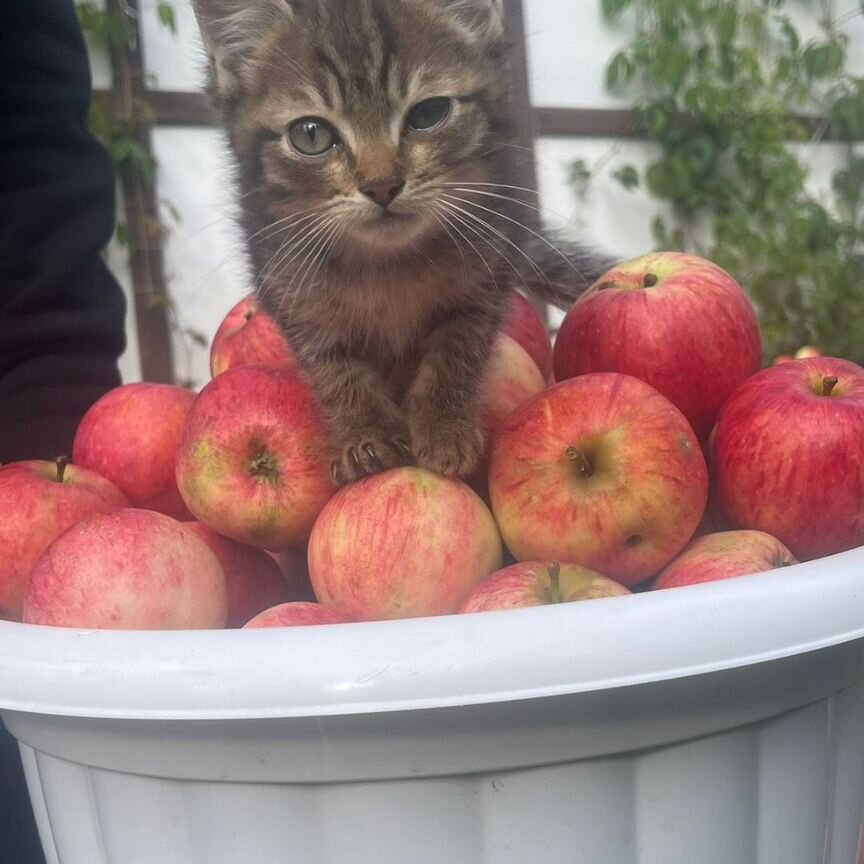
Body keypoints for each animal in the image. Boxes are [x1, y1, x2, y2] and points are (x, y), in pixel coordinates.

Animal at [190, 0, 608, 486]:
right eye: (311, 134)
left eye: (428, 114)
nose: (382, 185)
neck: (387, 264)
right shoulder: (288, 291)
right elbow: (333, 369)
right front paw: (367, 436)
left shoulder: (488, 273)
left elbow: (457, 350)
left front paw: (444, 429)